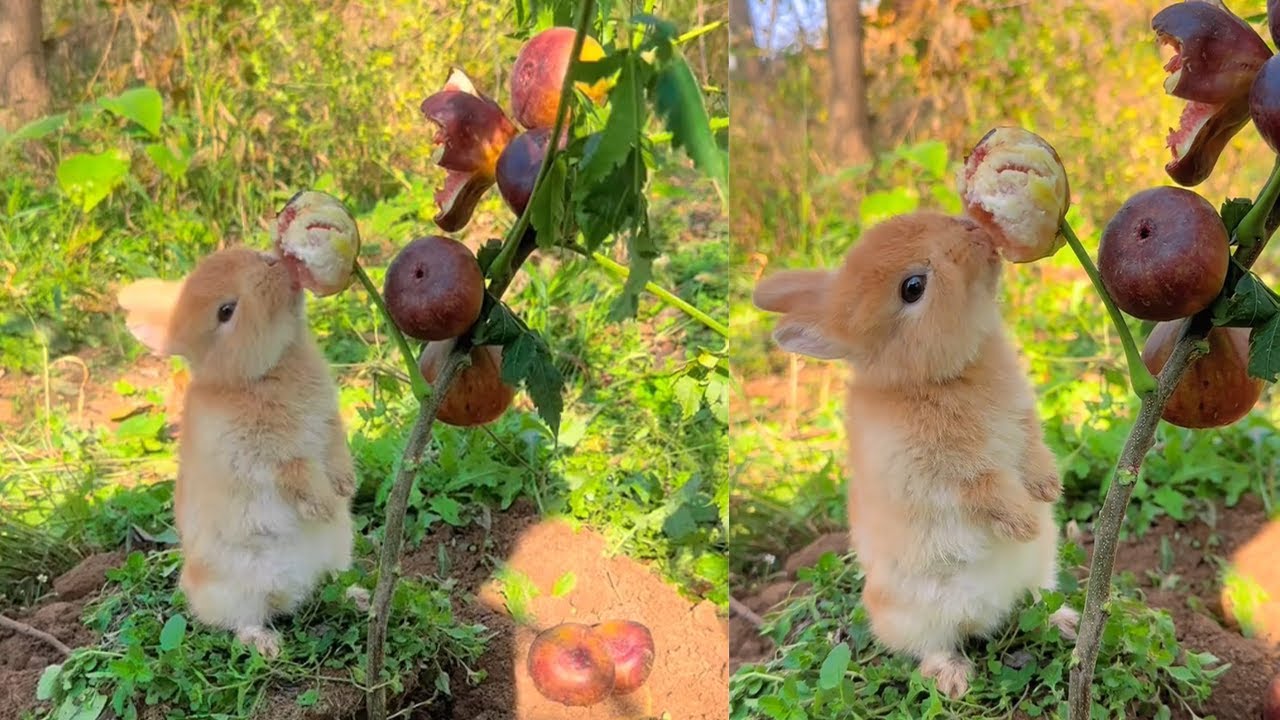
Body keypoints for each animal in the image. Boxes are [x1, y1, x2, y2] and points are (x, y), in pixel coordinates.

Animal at [117, 246, 361, 658]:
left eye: (254, 254)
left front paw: (345, 485)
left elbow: (334, 448)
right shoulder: (261, 458)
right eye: (226, 311)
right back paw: (267, 646)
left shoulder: (328, 423)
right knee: (242, 622)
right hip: (235, 591)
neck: (258, 374)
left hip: (338, 552)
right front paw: (324, 504)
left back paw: (359, 596)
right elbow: (296, 471)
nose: (276, 261)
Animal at [752, 212, 1079, 699]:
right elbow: (985, 489)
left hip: (1042, 565)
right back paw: (953, 680)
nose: (973, 229)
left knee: (1041, 597)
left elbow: (1031, 451)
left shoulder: (1023, 424)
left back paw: (1067, 623)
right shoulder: (940, 473)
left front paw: (1047, 489)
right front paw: (1023, 522)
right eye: (912, 288)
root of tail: (990, 614)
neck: (937, 376)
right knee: (932, 647)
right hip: (912, 615)